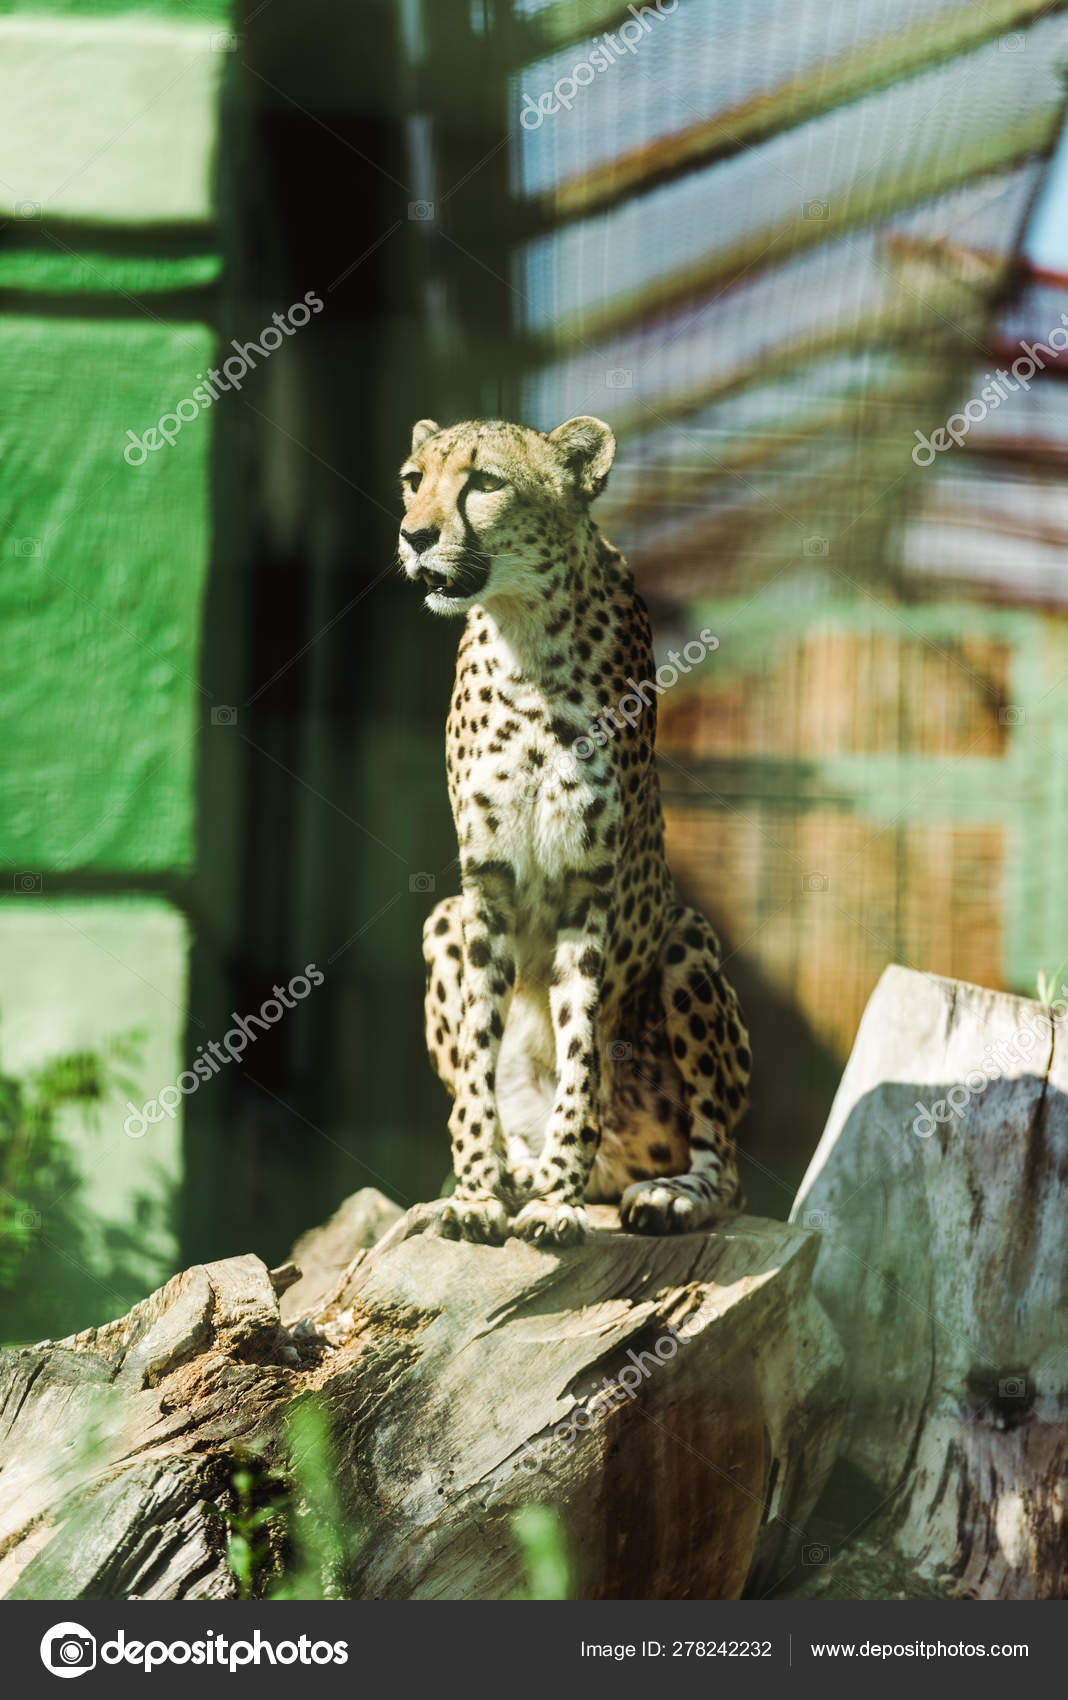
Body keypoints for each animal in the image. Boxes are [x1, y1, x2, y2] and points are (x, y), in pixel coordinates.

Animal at [399, 414, 750, 1248]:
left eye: (484, 483)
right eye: (412, 480)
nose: (414, 535)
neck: (527, 635)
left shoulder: (588, 891)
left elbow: (581, 1048)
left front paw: (558, 1199)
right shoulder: (484, 893)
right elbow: (477, 1056)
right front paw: (478, 1191)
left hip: (686, 941)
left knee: (724, 1160)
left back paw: (666, 1194)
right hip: (442, 922)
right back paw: (517, 1169)